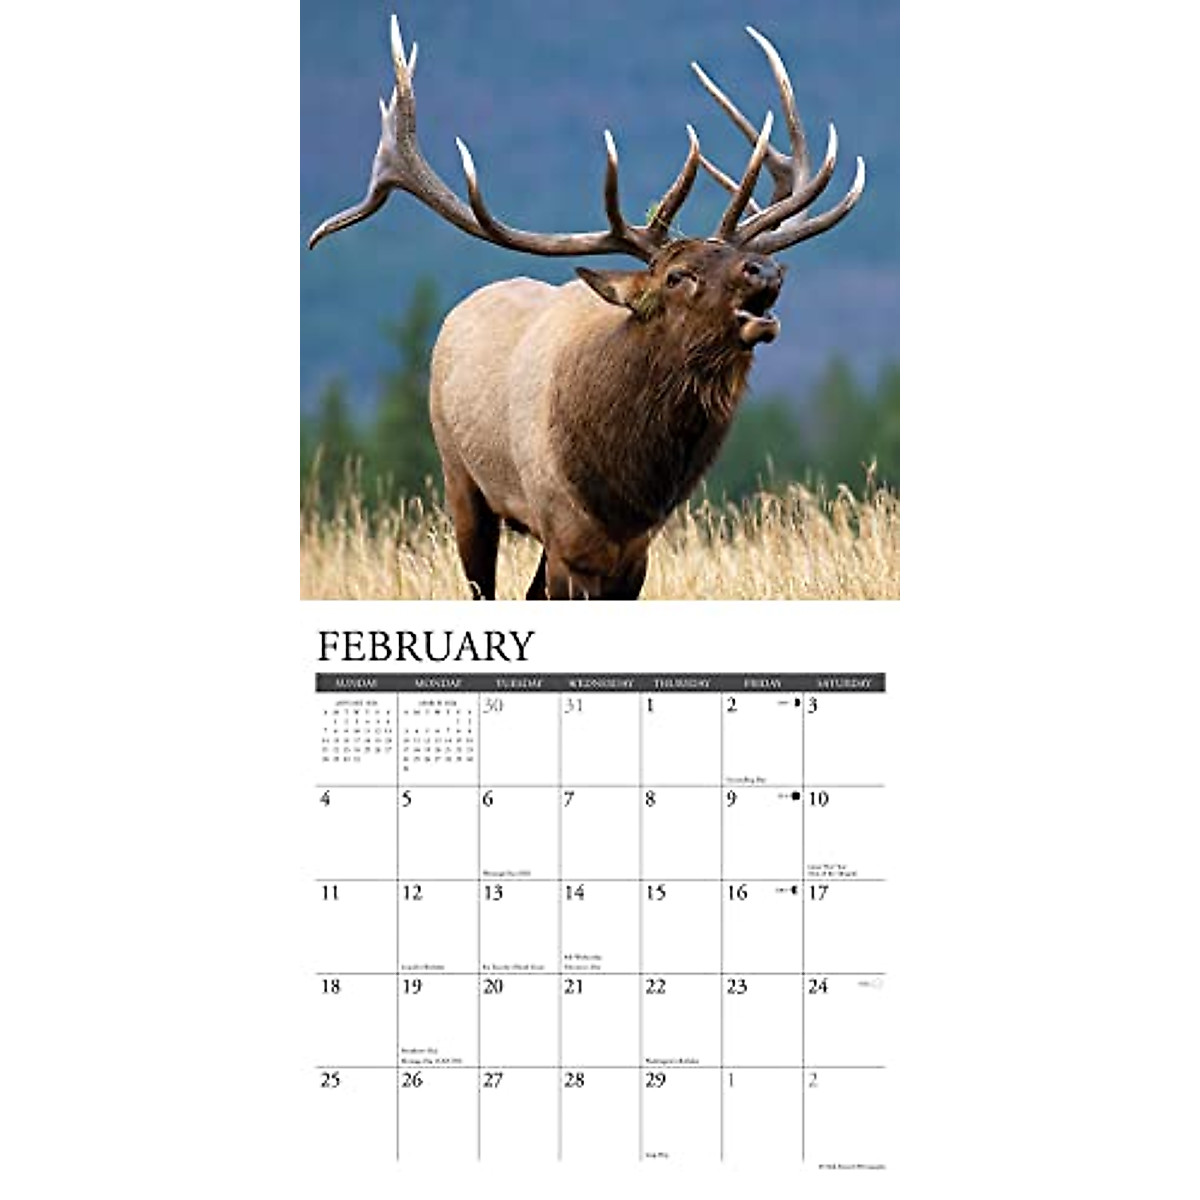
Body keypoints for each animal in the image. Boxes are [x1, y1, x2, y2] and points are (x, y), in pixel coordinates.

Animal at [309, 14, 866, 599]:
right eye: (676, 276)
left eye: (740, 256)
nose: (765, 270)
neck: (626, 491)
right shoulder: (566, 537)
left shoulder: (635, 552)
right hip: (461, 479)